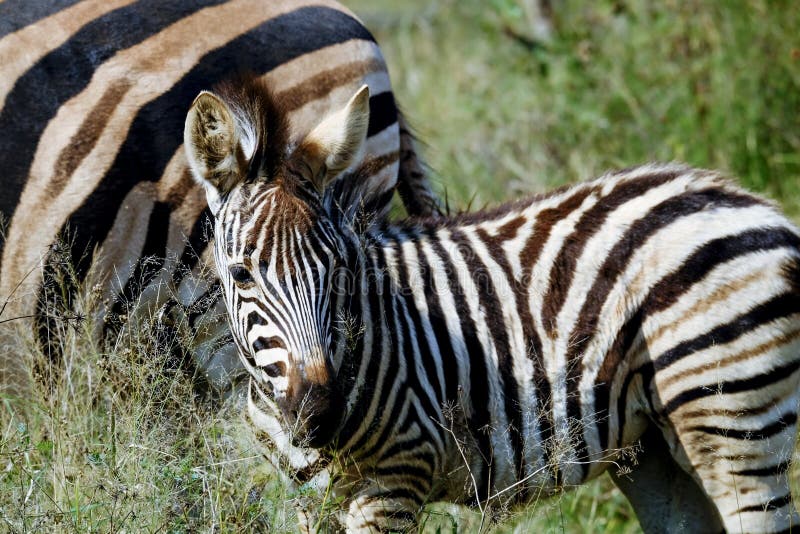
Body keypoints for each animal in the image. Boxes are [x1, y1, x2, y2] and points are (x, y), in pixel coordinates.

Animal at [184, 77, 800, 533]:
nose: (321, 413)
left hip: (732, 421)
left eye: (340, 270)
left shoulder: (394, 476)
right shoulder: (306, 499)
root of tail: (754, 204)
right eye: (240, 275)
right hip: (654, 443)